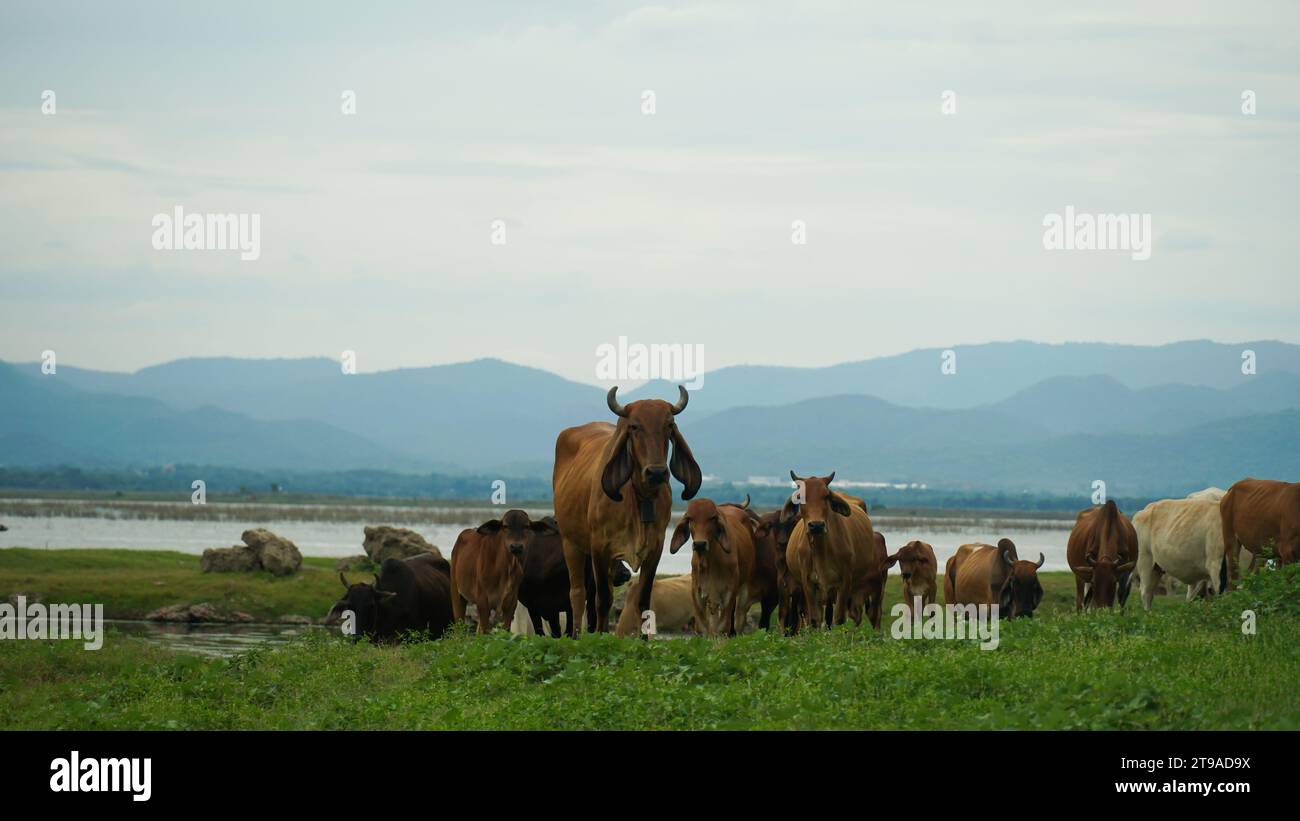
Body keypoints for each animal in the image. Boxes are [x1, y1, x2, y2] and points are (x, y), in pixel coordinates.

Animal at [552, 385, 701, 637]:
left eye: (669, 425)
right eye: (634, 426)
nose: (656, 472)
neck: (639, 497)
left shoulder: (656, 547)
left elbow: (643, 599)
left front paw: (643, 639)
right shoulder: (599, 547)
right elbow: (602, 599)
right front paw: (600, 638)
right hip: (570, 542)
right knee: (578, 594)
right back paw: (576, 634)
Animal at [784, 471, 880, 629]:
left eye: (826, 496)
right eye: (800, 497)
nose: (816, 525)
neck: (821, 550)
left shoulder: (845, 581)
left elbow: (839, 618)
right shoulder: (808, 583)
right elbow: (815, 619)